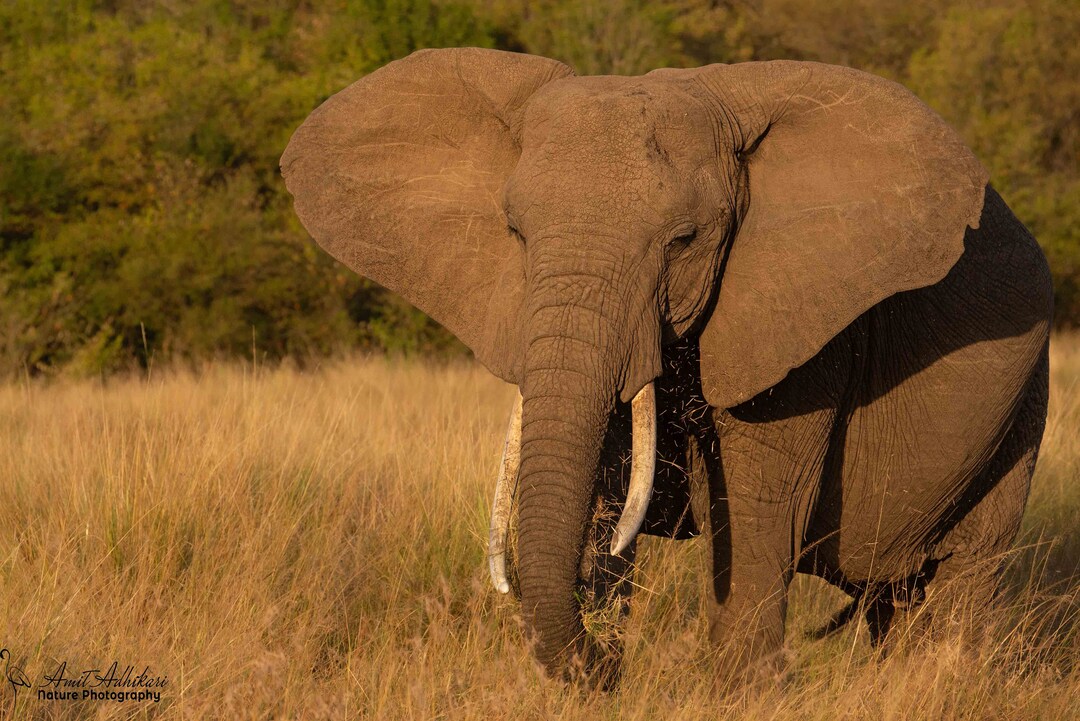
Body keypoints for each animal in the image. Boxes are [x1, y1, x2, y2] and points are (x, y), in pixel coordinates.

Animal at [280, 48, 1052, 687]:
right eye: (515, 234)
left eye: (683, 241)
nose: (600, 663)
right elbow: (602, 494)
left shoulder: (804, 326)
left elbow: (755, 516)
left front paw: (741, 693)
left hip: (1025, 405)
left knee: (965, 577)